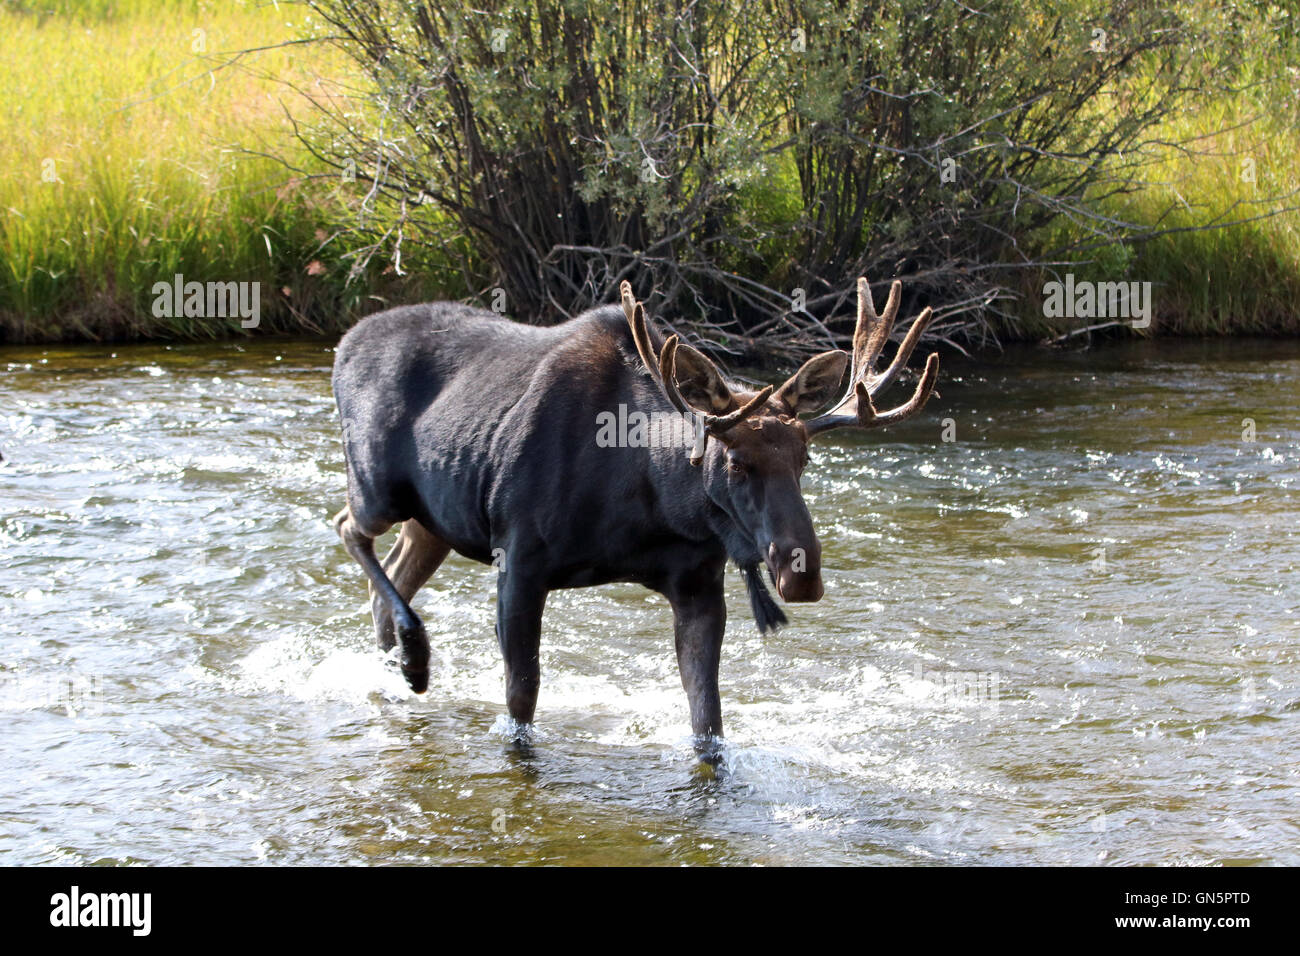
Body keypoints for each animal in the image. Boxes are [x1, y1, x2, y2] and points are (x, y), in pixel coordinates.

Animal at [331, 277, 938, 760]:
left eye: (805, 459)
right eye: (736, 462)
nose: (802, 572)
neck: (651, 500)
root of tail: (343, 343)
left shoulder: (697, 582)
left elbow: (708, 720)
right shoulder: (519, 559)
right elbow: (521, 701)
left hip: (434, 519)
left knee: (391, 572)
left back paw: (397, 660)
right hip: (379, 490)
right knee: (347, 527)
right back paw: (415, 657)